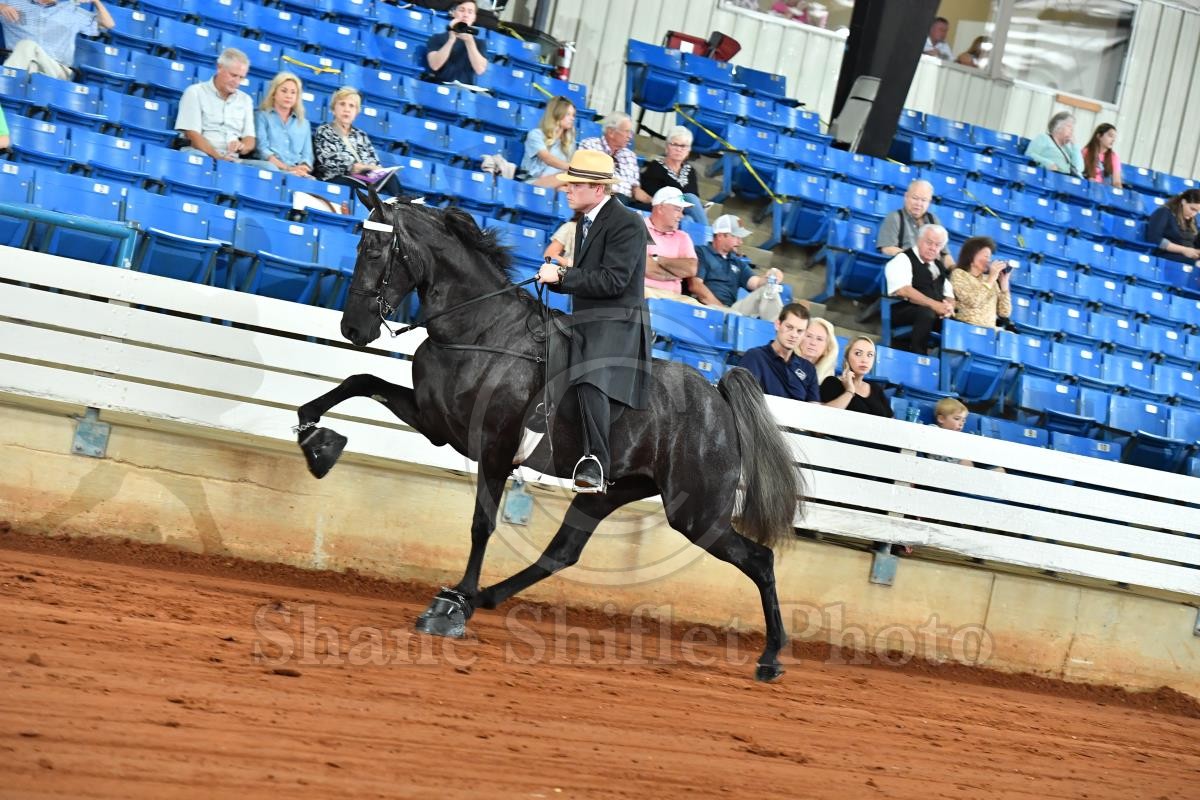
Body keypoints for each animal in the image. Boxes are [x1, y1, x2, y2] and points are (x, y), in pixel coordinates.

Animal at [295, 195, 804, 681]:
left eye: (373, 250)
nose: (352, 328)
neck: (481, 329)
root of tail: (717, 397)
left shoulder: (495, 449)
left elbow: (481, 524)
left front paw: (455, 603)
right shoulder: (436, 422)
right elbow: (359, 380)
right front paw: (316, 442)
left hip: (696, 512)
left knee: (760, 560)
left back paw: (771, 657)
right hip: (615, 493)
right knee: (562, 553)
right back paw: (485, 599)